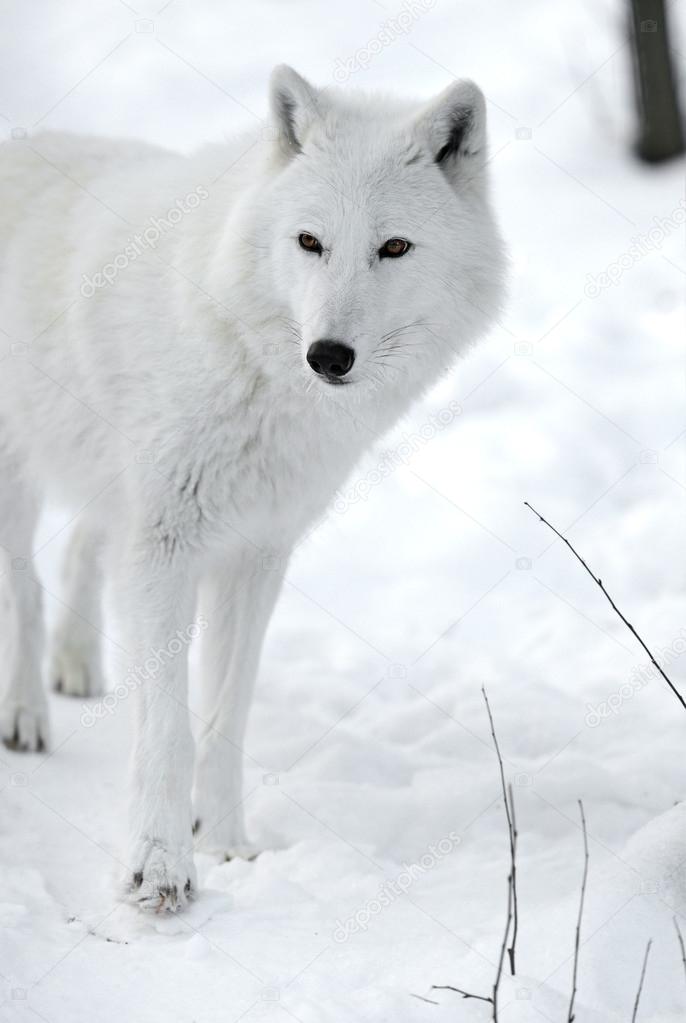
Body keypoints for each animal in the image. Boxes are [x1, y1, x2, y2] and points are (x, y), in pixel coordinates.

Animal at [0, 66, 505, 909]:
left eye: (394, 247)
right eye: (309, 241)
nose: (328, 354)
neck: (260, 379)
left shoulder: (257, 552)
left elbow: (225, 715)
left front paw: (229, 842)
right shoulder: (165, 545)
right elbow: (168, 726)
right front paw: (159, 865)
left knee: (81, 550)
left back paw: (75, 665)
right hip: (18, 478)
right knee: (23, 591)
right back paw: (25, 715)